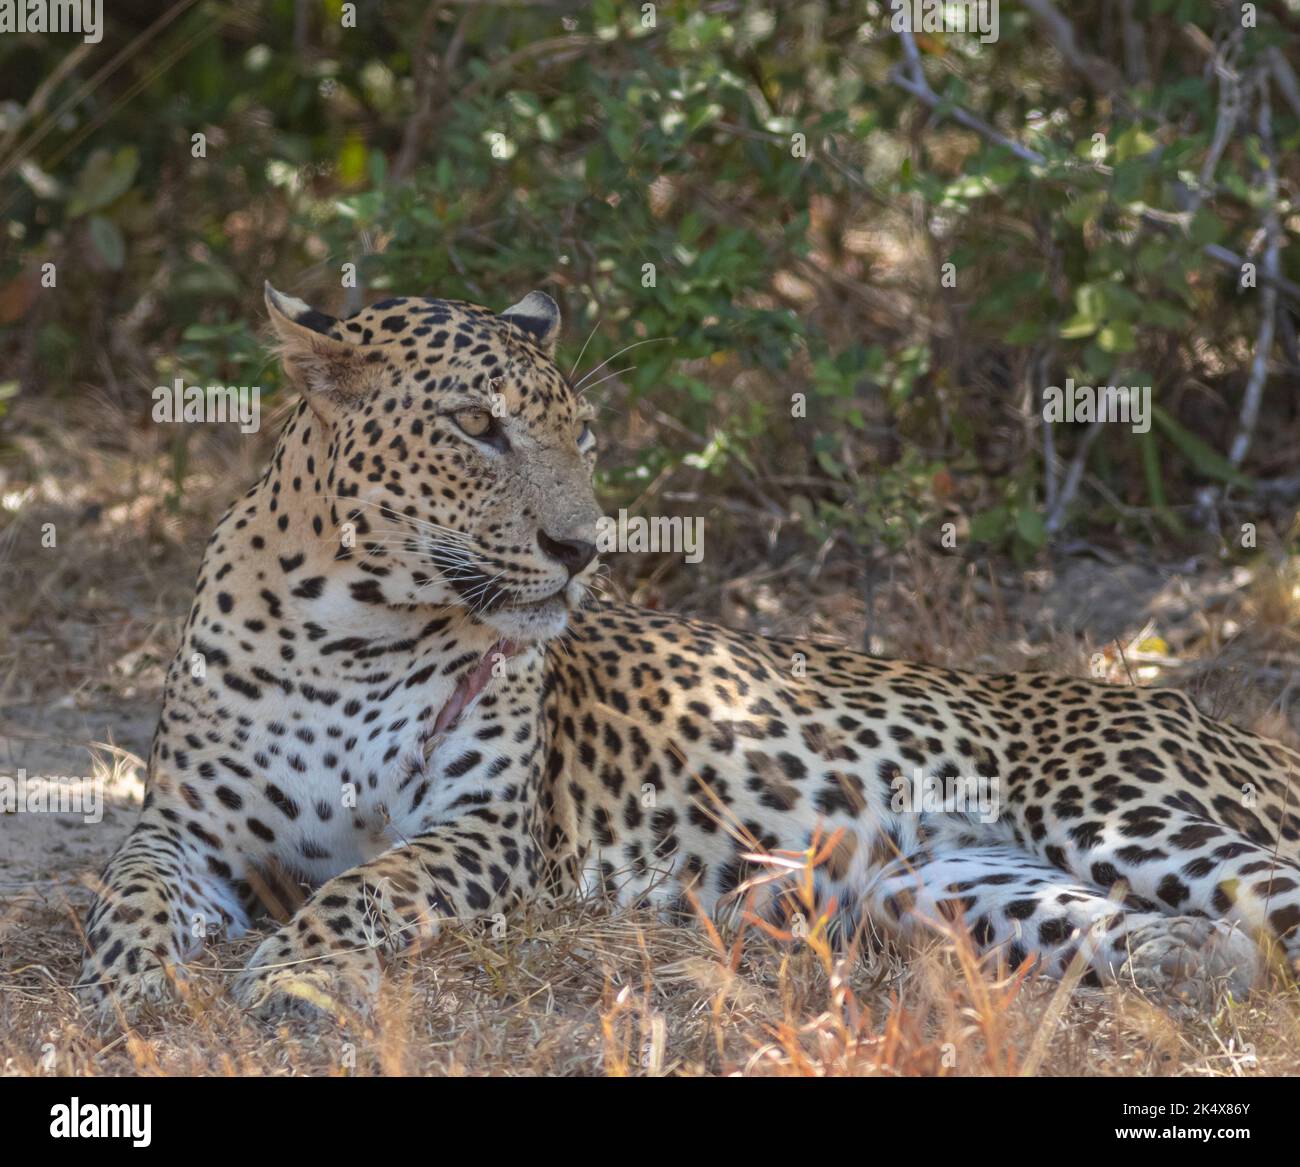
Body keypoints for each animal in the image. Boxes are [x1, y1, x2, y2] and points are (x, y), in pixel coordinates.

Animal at [75, 281, 1300, 1024]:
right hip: (946, 881)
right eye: (475, 426)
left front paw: (293, 974)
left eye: (580, 433)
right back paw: (1194, 961)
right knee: (1145, 927)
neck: (349, 628)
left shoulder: (488, 832)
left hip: (1117, 808)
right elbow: (125, 890)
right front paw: (123, 990)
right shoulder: (184, 826)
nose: (581, 549)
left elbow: (365, 886)